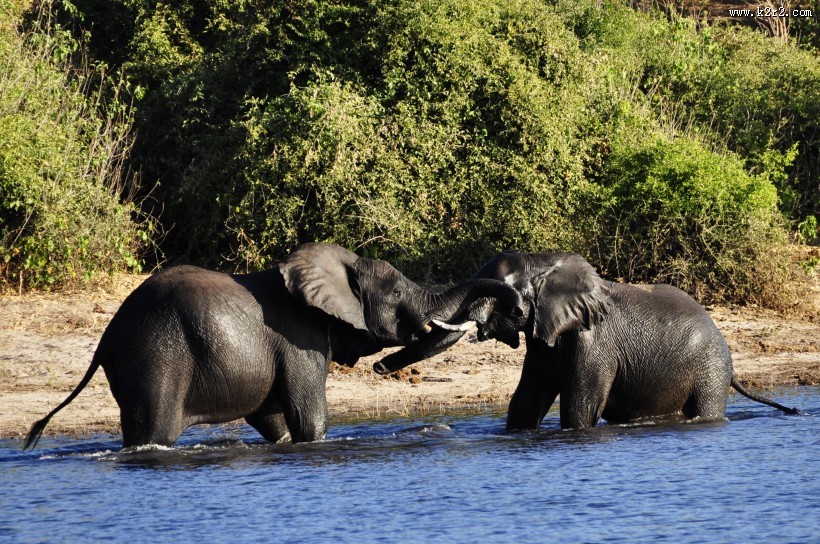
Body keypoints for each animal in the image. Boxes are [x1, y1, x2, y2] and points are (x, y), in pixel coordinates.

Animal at [25, 243, 523, 449]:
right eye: (399, 293)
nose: (384, 370)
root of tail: (106, 337)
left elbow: (272, 419)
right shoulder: (301, 340)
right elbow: (308, 417)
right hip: (155, 357)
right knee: (155, 433)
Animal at [374, 251, 797, 430]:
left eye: (503, 292)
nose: (377, 366)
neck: (548, 264)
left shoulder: (592, 342)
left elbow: (580, 406)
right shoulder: (543, 338)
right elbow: (525, 402)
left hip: (709, 370)